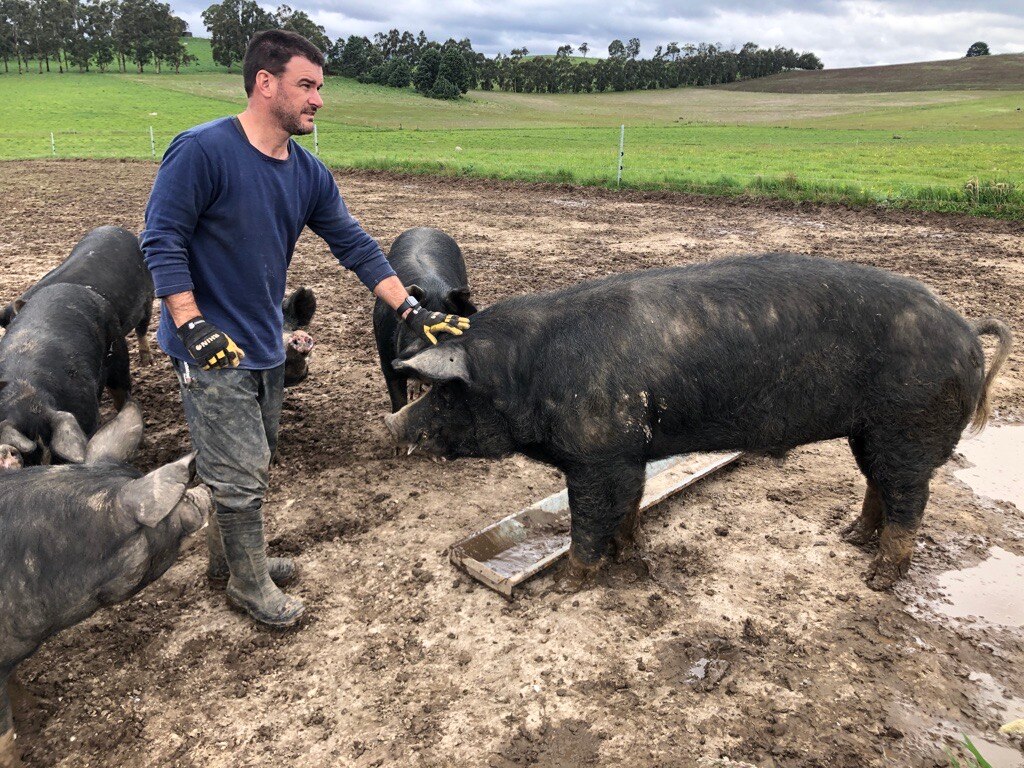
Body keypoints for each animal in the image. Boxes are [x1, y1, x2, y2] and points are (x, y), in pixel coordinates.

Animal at [384, 253, 1013, 593]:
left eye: (443, 392)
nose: (393, 424)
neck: (527, 372)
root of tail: (964, 327)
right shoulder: (628, 452)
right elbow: (626, 506)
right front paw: (629, 556)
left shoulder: (596, 452)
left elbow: (587, 519)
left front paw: (571, 582)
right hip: (870, 431)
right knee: (878, 484)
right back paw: (849, 538)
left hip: (909, 426)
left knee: (910, 499)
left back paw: (877, 578)